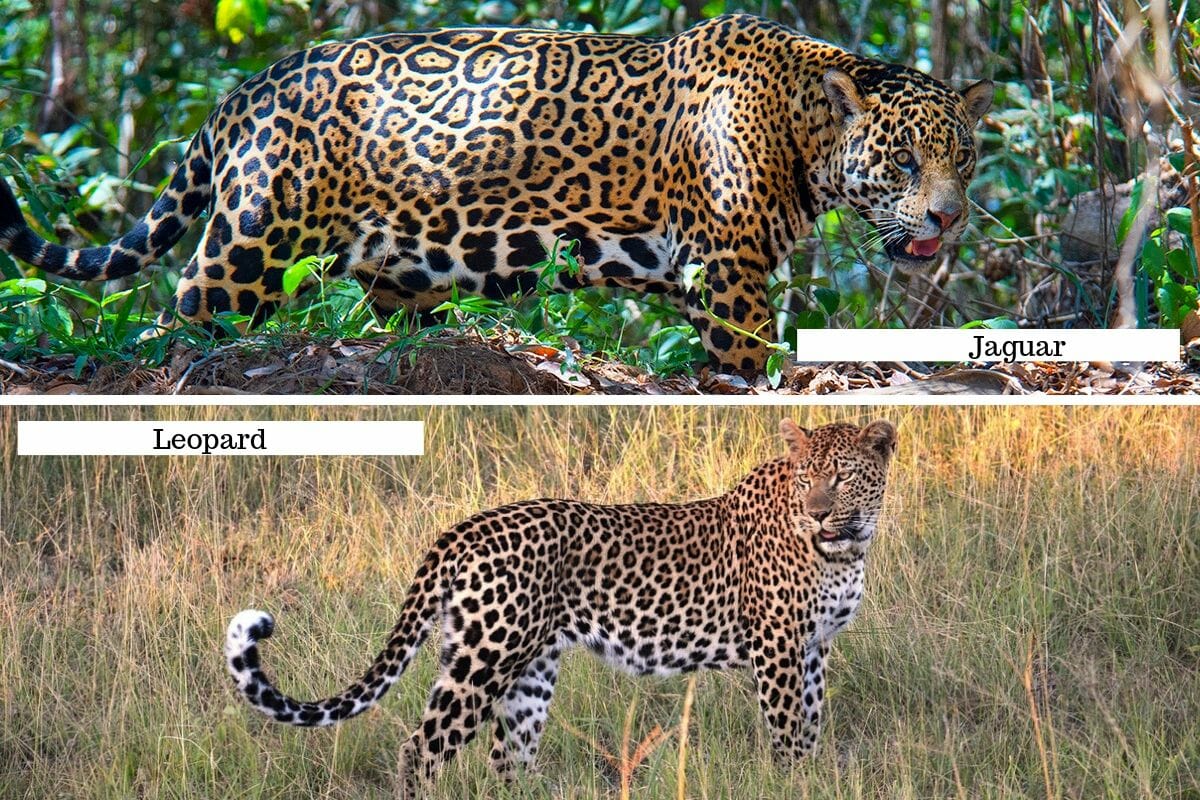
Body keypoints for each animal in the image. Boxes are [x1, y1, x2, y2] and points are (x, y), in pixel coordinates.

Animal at [0, 14, 990, 375]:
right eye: (905, 164)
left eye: (967, 160)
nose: (946, 218)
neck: (803, 125)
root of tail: (242, 91)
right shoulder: (730, 264)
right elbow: (747, 357)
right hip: (254, 235)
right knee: (187, 305)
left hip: (403, 261)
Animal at [224, 418, 898, 796]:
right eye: (807, 478)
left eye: (841, 478)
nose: (817, 512)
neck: (847, 547)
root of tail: (462, 529)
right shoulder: (778, 645)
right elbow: (788, 732)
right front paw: (794, 784)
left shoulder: (814, 648)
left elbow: (811, 724)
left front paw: (812, 777)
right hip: (486, 659)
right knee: (423, 748)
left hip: (528, 669)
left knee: (508, 758)